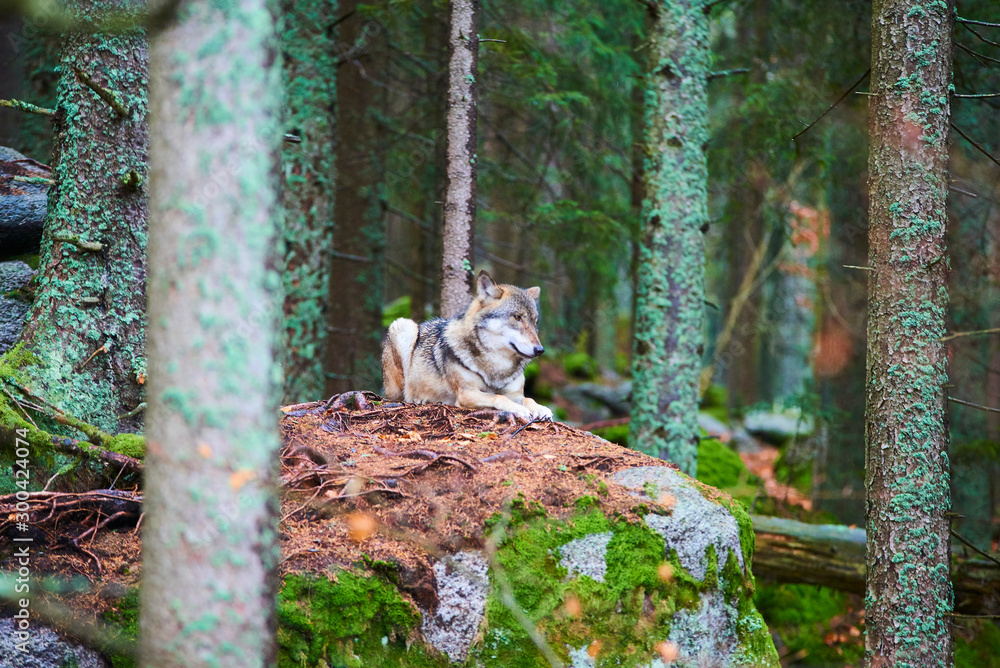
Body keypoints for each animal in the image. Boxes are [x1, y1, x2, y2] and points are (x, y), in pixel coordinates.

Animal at [382, 270, 554, 422]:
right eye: (517, 317)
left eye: (535, 322)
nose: (540, 350)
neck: (497, 365)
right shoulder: (467, 393)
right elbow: (499, 397)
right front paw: (520, 410)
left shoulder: (516, 395)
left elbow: (528, 399)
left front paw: (542, 409)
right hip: (404, 326)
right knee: (404, 397)